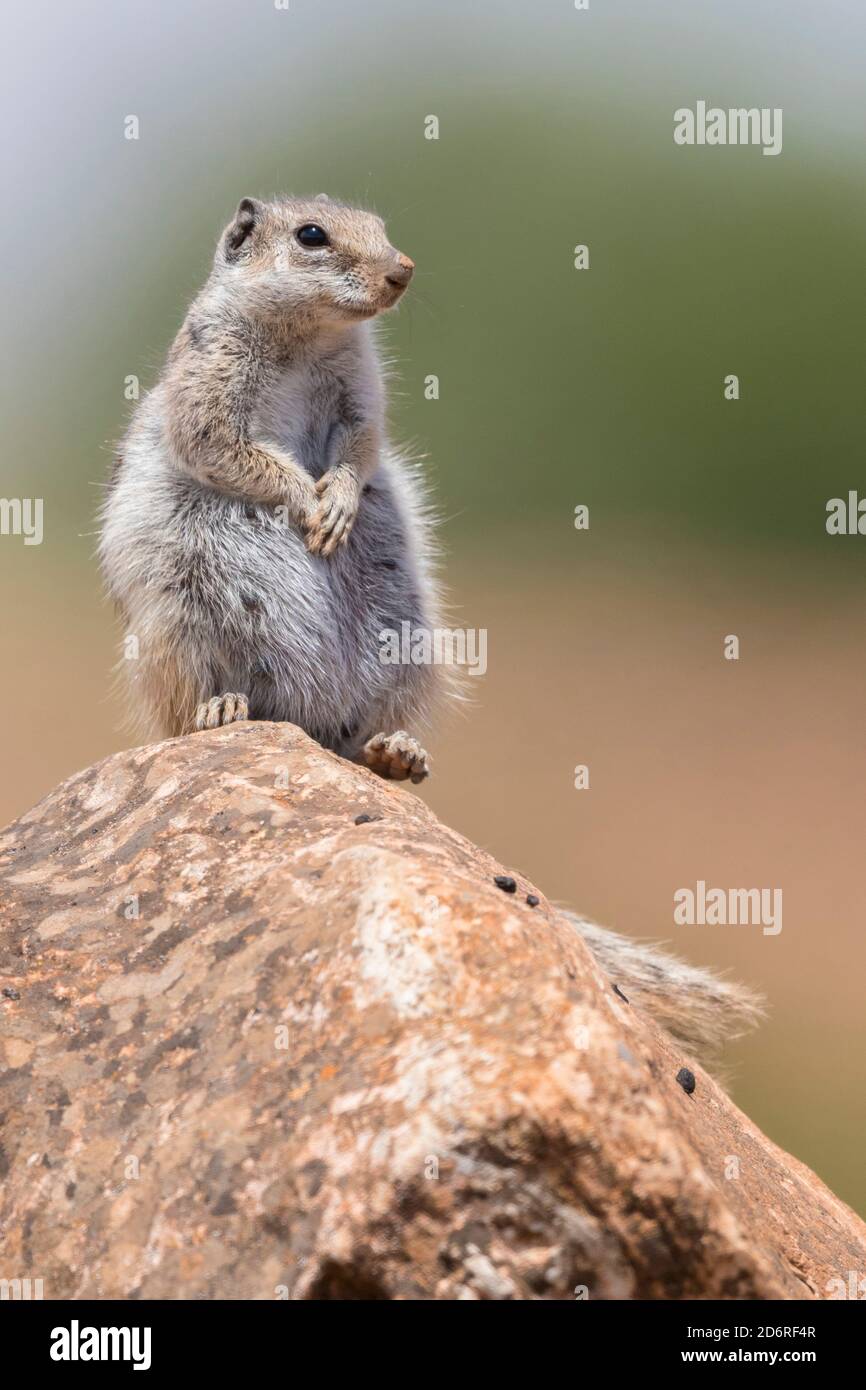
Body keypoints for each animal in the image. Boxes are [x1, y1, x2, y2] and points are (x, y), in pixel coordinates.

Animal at [99, 193, 762, 1067]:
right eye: (312, 235)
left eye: (381, 225)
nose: (403, 271)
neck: (307, 335)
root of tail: (305, 724)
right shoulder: (209, 385)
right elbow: (229, 448)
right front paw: (305, 500)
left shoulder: (360, 391)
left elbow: (360, 445)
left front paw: (337, 500)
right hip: (179, 618)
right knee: (189, 706)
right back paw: (223, 709)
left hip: (400, 634)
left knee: (365, 734)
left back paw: (393, 753)